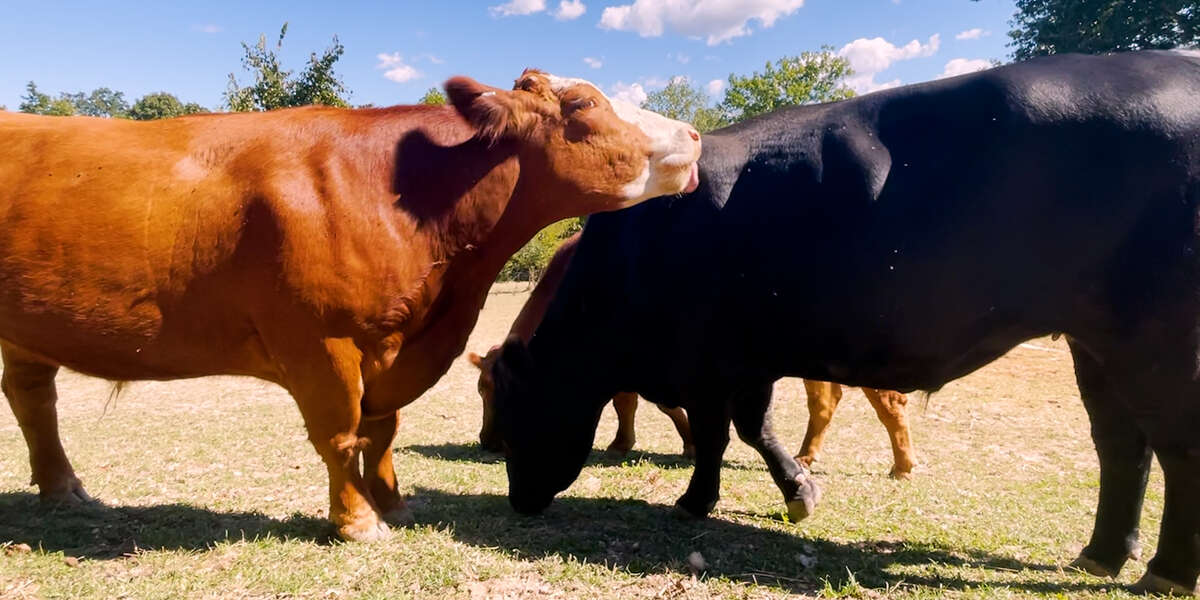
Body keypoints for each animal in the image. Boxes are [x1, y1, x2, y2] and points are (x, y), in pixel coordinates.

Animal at [0, 69, 702, 542]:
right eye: (583, 102)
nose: (695, 135)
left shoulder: (394, 343)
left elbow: (382, 427)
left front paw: (394, 503)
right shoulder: (319, 339)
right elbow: (340, 432)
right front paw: (358, 522)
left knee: (34, 398)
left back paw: (64, 491)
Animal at [468, 233, 916, 478]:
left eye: (492, 391)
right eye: (480, 390)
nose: (487, 441)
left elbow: (643, 403)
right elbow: (636, 404)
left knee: (886, 402)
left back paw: (901, 465)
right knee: (825, 401)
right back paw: (806, 455)